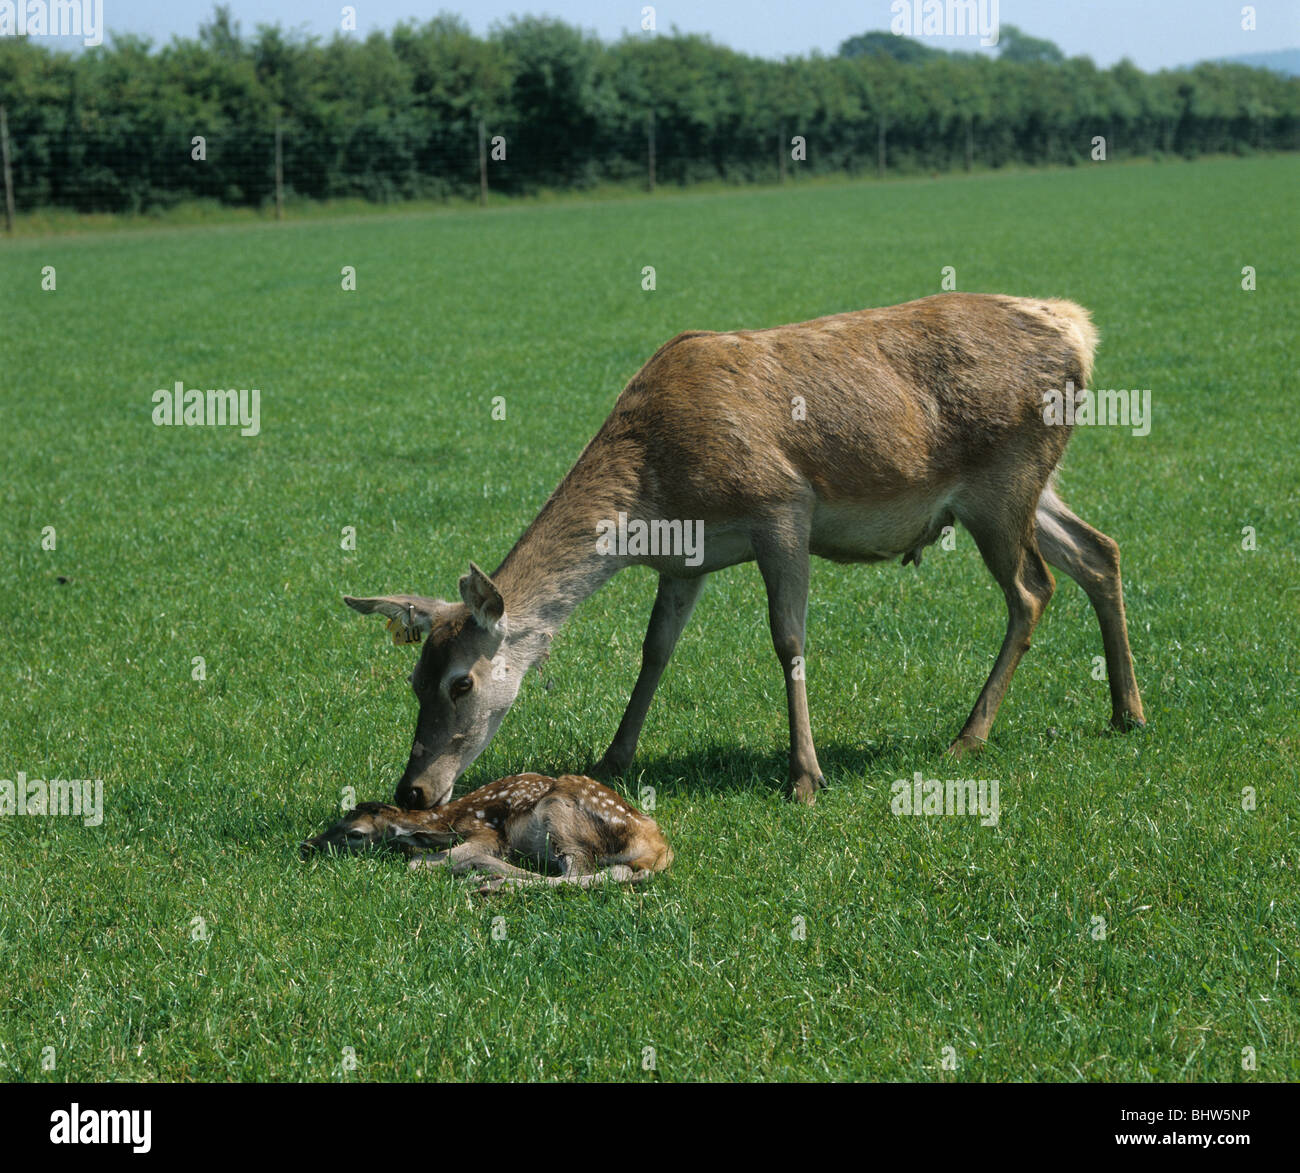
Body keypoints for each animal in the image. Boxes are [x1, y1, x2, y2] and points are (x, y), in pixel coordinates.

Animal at [300, 773, 673, 891]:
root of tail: (659, 847)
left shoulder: (489, 832)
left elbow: (420, 862)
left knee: (582, 873)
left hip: (561, 818)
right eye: (336, 821)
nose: (307, 845)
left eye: (356, 834)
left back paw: (490, 880)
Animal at [344, 293, 1146, 808]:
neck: (656, 493)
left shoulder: (781, 506)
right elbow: (656, 650)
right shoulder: (685, 560)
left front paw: (805, 777)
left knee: (1032, 591)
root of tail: (1080, 331)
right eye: (413, 680)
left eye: (461, 684)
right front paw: (613, 757)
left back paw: (968, 736)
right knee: (1099, 551)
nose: (412, 789)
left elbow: (787, 637)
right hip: (1028, 486)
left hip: (1002, 481)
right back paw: (1127, 711)